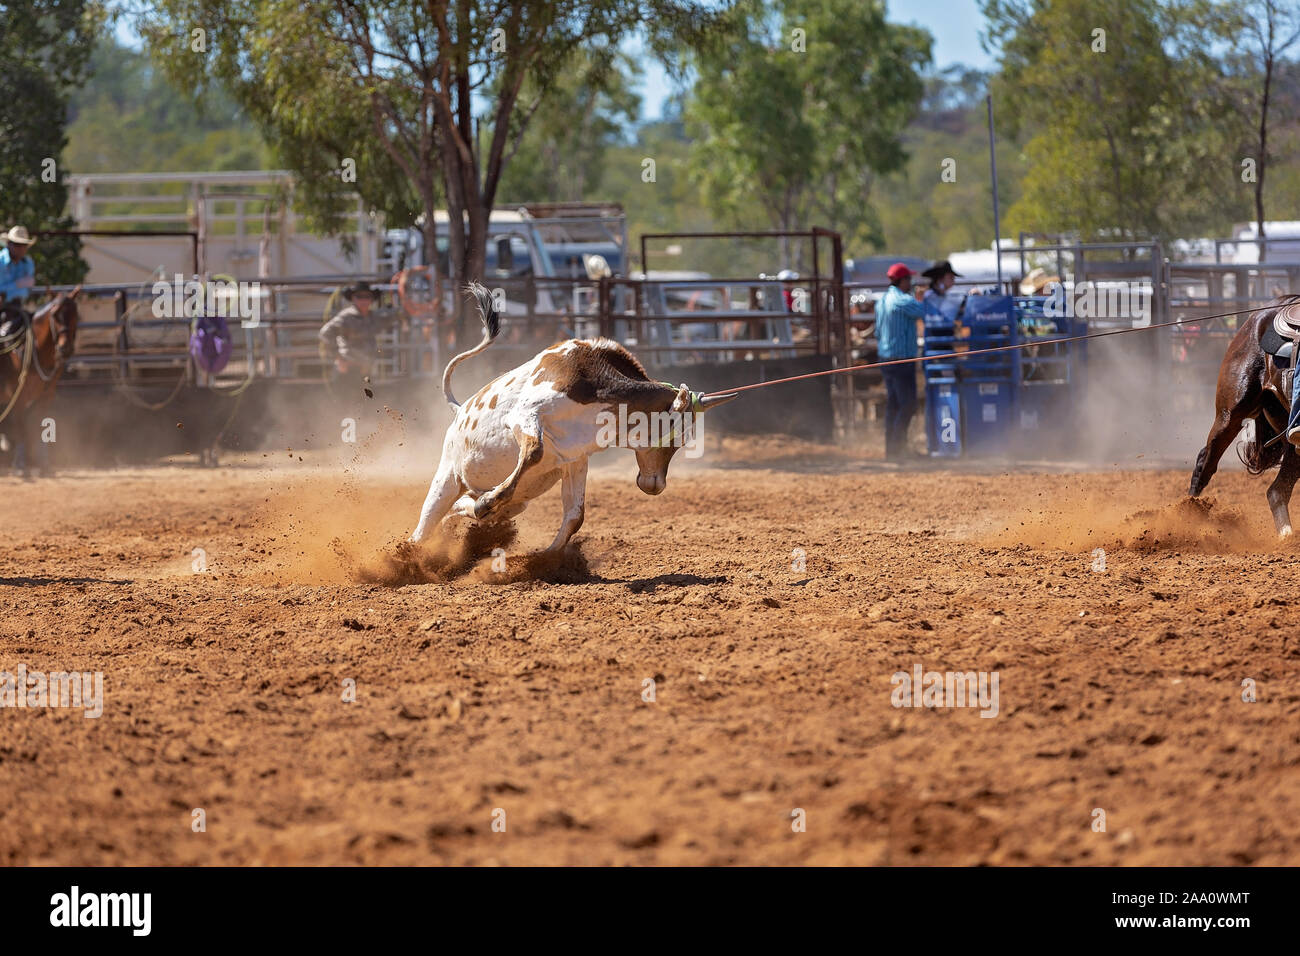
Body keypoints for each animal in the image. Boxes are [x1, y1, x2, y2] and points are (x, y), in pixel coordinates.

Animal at [408, 283, 738, 552]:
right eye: (672, 433)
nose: (655, 485)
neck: (592, 383)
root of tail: (459, 409)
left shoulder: (575, 459)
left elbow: (575, 515)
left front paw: (547, 559)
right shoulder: (524, 417)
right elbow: (534, 451)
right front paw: (489, 499)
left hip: (518, 501)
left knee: (462, 509)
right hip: (446, 478)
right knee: (426, 524)